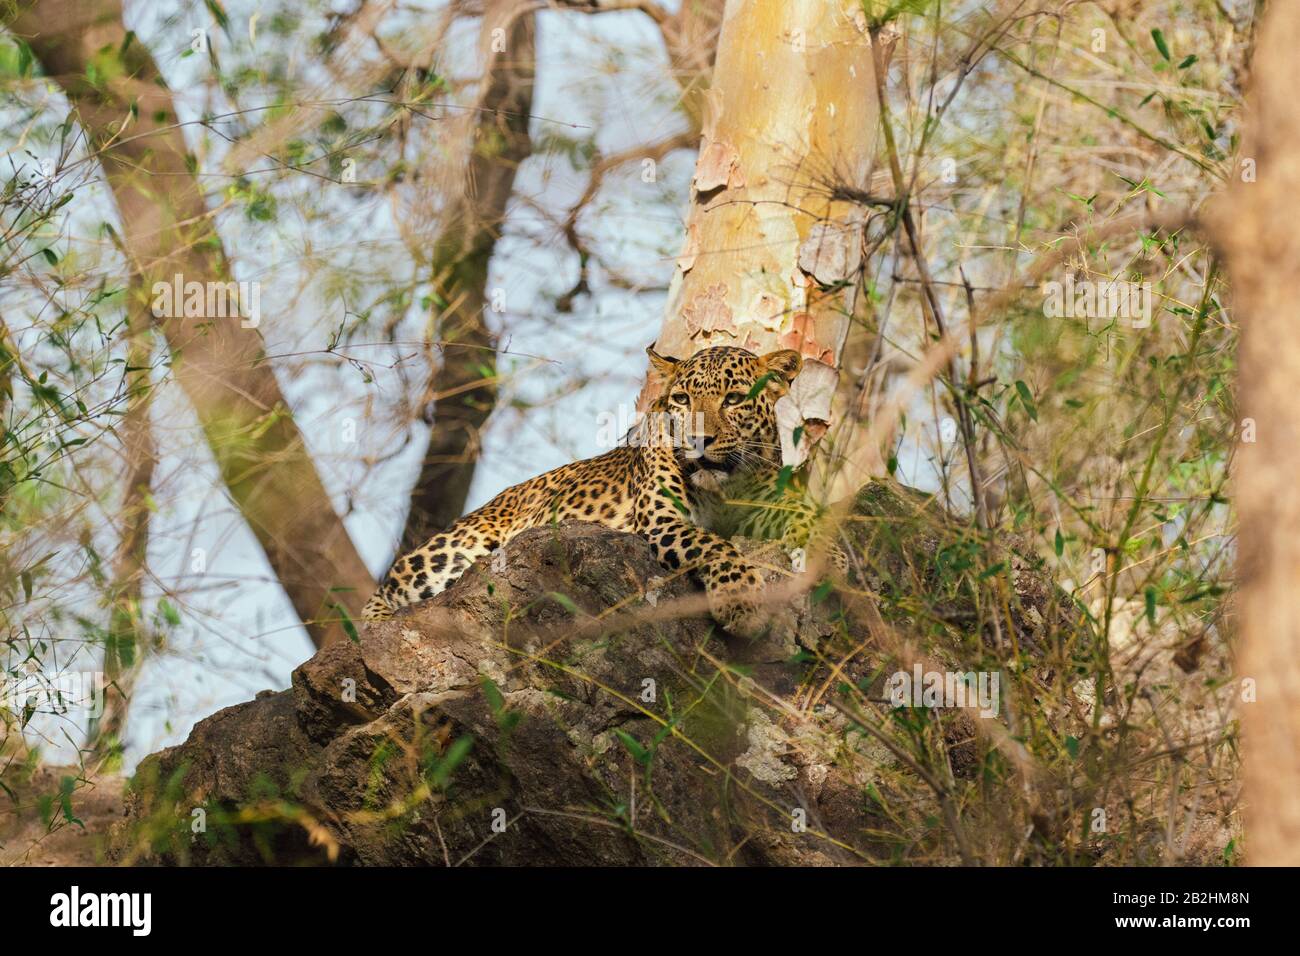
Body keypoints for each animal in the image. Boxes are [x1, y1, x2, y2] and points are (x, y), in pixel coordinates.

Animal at [362, 344, 838, 638]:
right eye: (682, 400)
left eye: (735, 399)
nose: (697, 441)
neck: (726, 485)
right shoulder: (662, 521)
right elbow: (712, 544)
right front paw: (740, 602)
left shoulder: (763, 505)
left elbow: (805, 515)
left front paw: (830, 558)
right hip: (455, 547)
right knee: (388, 590)